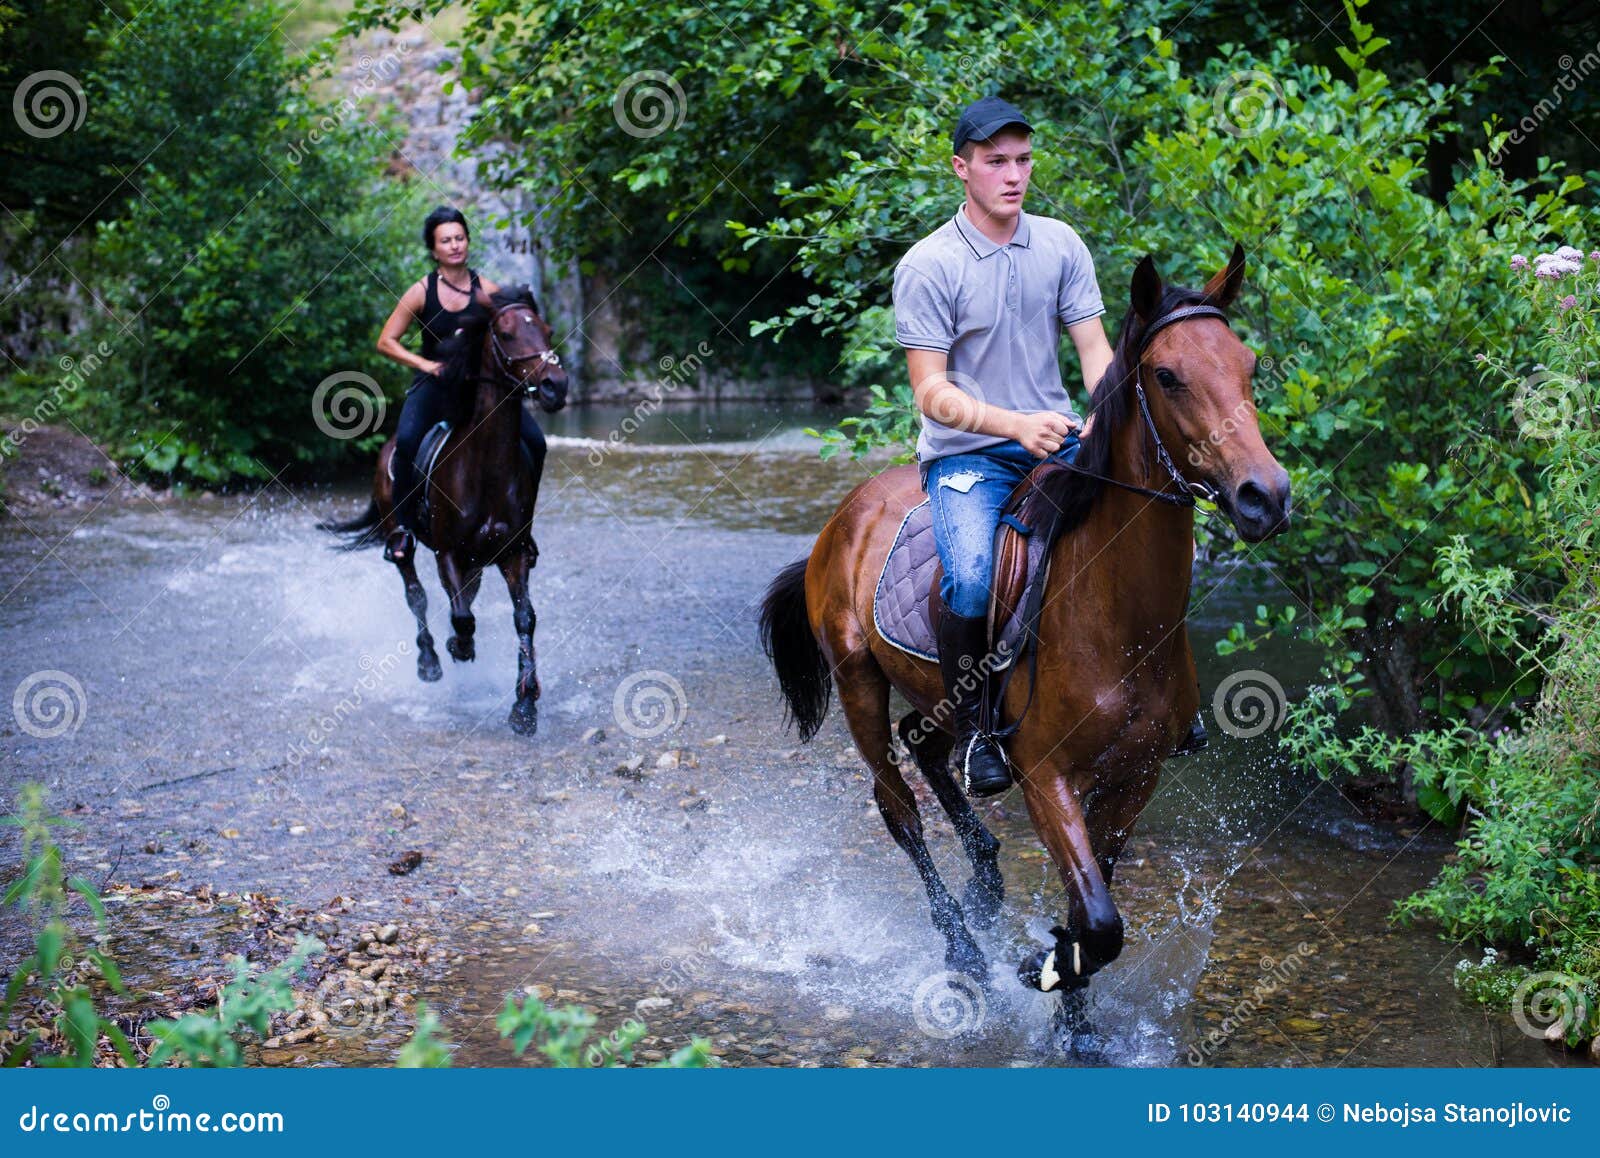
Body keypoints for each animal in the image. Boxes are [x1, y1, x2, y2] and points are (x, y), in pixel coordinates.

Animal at [318, 286, 569, 735]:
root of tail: (385, 447)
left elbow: (524, 618)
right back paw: (429, 661)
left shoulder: (513, 552)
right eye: (506, 333)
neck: (486, 469)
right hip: (401, 536)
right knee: (416, 595)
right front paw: (459, 647)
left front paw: (525, 704)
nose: (555, 386)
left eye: (546, 330)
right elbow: (462, 618)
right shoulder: (447, 551)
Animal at [759, 244, 1290, 1051]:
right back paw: (965, 953)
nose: (1266, 496)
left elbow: (1092, 907)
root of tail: (842, 518)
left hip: (941, 699)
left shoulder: (1135, 777)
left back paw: (985, 885)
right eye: (1168, 375)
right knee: (897, 806)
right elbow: (1100, 921)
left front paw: (1077, 1021)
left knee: (929, 750)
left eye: (1248, 364)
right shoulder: (1045, 776)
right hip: (857, 682)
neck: (1115, 619)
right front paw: (1044, 972)